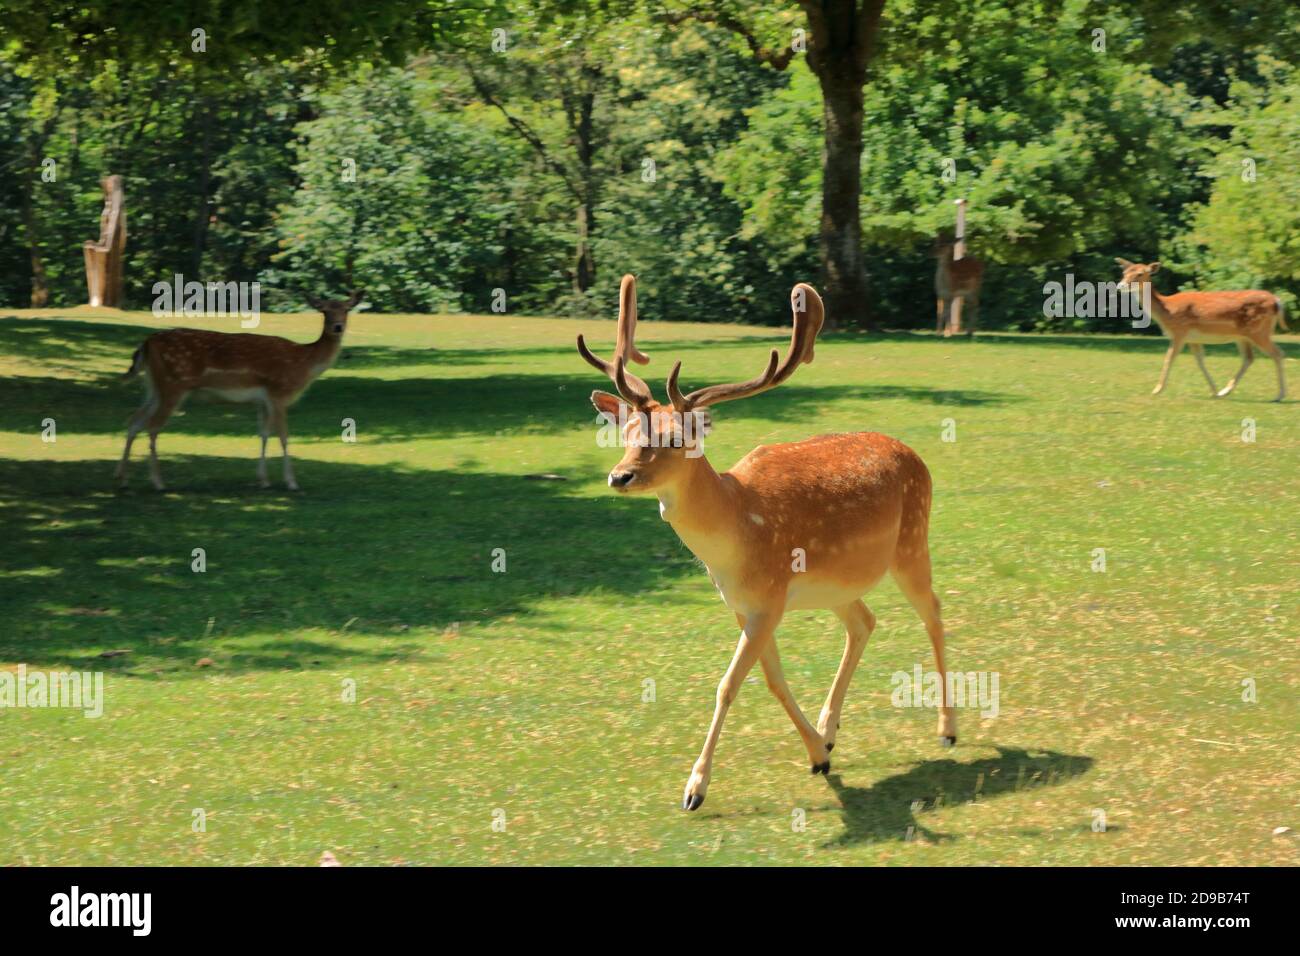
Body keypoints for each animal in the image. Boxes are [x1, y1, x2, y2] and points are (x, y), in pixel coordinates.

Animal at [116, 291, 362, 491]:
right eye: (325, 310)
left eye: (346, 309)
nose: (338, 326)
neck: (303, 364)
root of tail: (146, 343)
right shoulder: (278, 392)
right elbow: (283, 436)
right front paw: (291, 482)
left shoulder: (263, 400)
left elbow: (264, 434)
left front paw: (263, 480)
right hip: (173, 384)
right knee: (152, 427)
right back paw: (158, 483)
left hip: (154, 387)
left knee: (134, 421)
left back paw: (123, 479)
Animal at [577, 275, 957, 811]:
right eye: (628, 432)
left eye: (675, 438)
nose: (619, 476)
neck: (738, 530)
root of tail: (916, 455)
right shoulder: (743, 604)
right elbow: (772, 679)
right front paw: (818, 755)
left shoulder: (770, 598)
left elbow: (728, 683)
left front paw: (695, 789)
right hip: (838, 584)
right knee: (864, 621)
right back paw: (830, 730)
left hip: (912, 541)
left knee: (933, 611)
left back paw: (948, 729)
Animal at [1115, 259, 1288, 401]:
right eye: (1124, 273)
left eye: (1140, 273)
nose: (1120, 285)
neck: (1167, 311)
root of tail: (1277, 302)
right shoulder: (1193, 338)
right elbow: (1200, 361)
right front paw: (1214, 391)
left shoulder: (1179, 332)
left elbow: (1169, 358)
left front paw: (1156, 390)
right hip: (1243, 336)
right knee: (1249, 358)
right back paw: (1225, 391)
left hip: (1259, 330)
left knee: (1277, 353)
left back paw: (1279, 395)